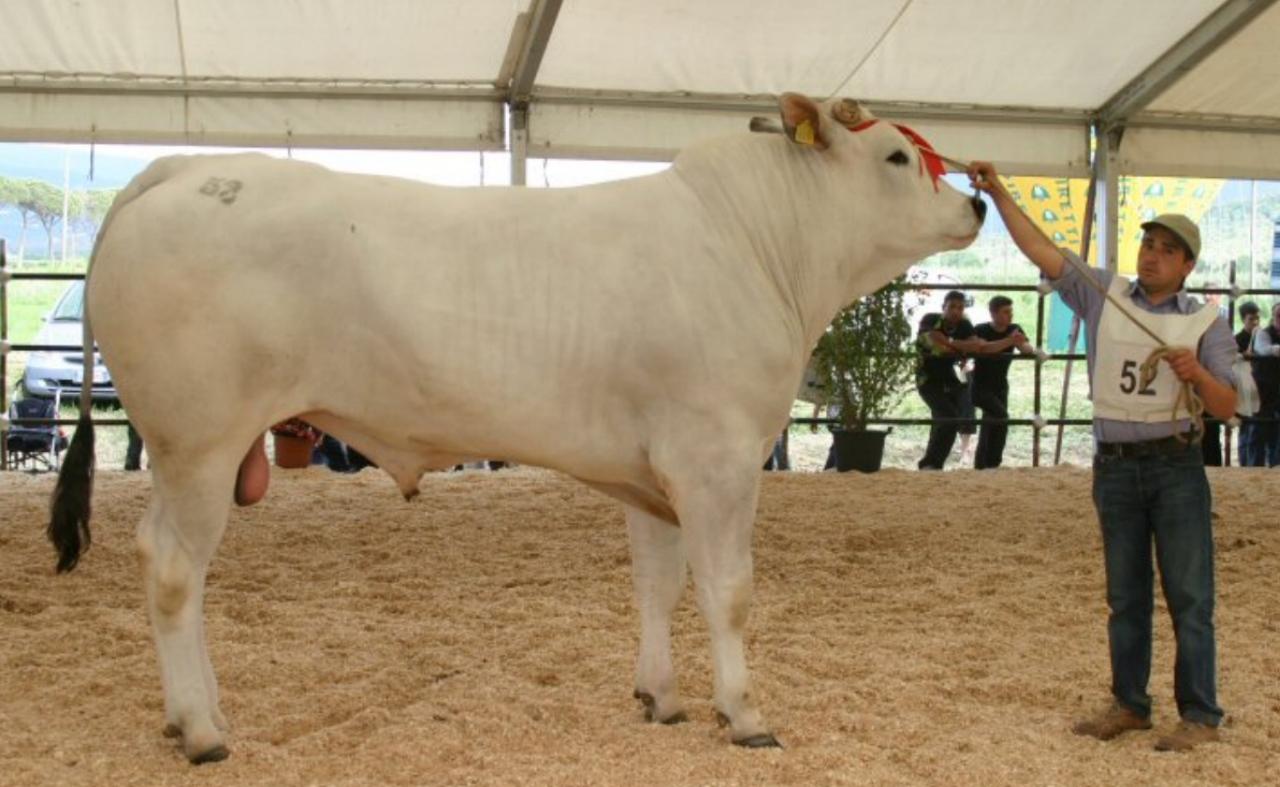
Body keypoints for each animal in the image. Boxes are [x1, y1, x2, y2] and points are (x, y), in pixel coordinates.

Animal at [48, 93, 985, 763]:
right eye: (897, 155)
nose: (976, 202)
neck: (759, 249)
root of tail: (184, 167)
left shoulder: (654, 471)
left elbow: (658, 583)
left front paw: (661, 696)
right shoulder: (717, 458)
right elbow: (729, 590)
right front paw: (745, 713)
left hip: (196, 448)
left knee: (170, 563)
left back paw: (193, 713)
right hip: (199, 441)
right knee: (176, 569)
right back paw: (204, 729)